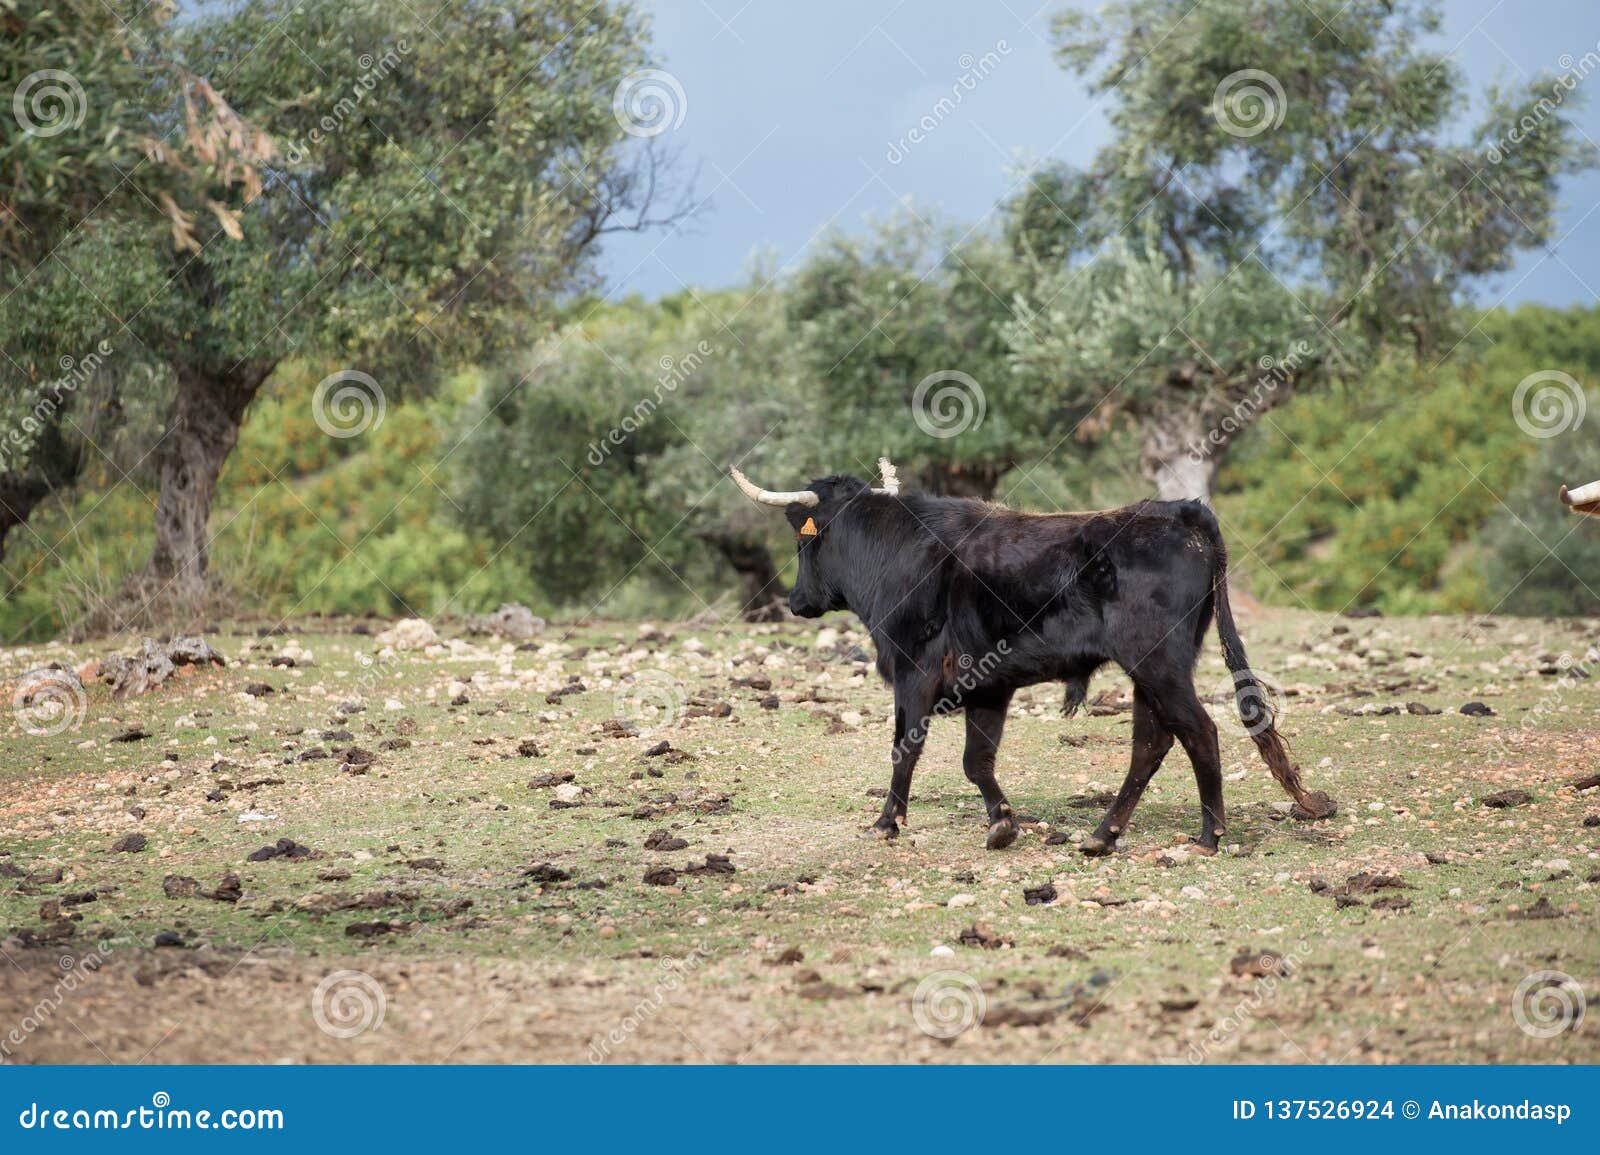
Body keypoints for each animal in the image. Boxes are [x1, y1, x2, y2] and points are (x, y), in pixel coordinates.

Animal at [730, 458, 1336, 854]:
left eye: (804, 541)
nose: (797, 602)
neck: (895, 550)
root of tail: (1181, 512)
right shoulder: (986, 686)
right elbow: (977, 760)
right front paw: (1002, 823)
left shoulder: (913, 669)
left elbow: (906, 748)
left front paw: (886, 822)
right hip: (1151, 671)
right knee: (1152, 743)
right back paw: (1102, 835)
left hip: (1158, 663)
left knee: (1198, 732)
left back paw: (1210, 835)